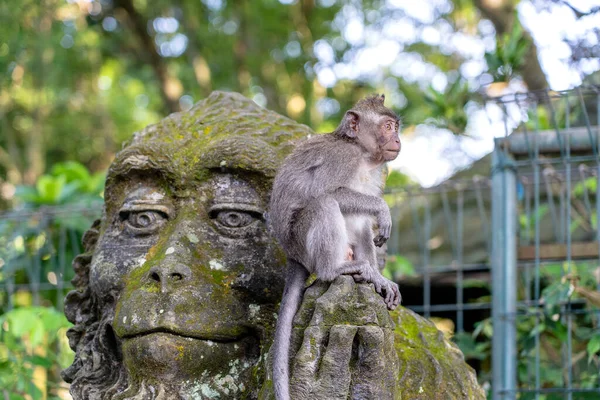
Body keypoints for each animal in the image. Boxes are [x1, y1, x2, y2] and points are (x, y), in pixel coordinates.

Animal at [268, 94, 400, 400]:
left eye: (396, 127)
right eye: (388, 126)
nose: (398, 139)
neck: (362, 155)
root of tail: (292, 255)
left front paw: (381, 278)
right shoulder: (343, 159)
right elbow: (330, 192)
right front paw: (383, 210)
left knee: (356, 217)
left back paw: (371, 274)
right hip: (301, 241)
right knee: (325, 203)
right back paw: (334, 270)